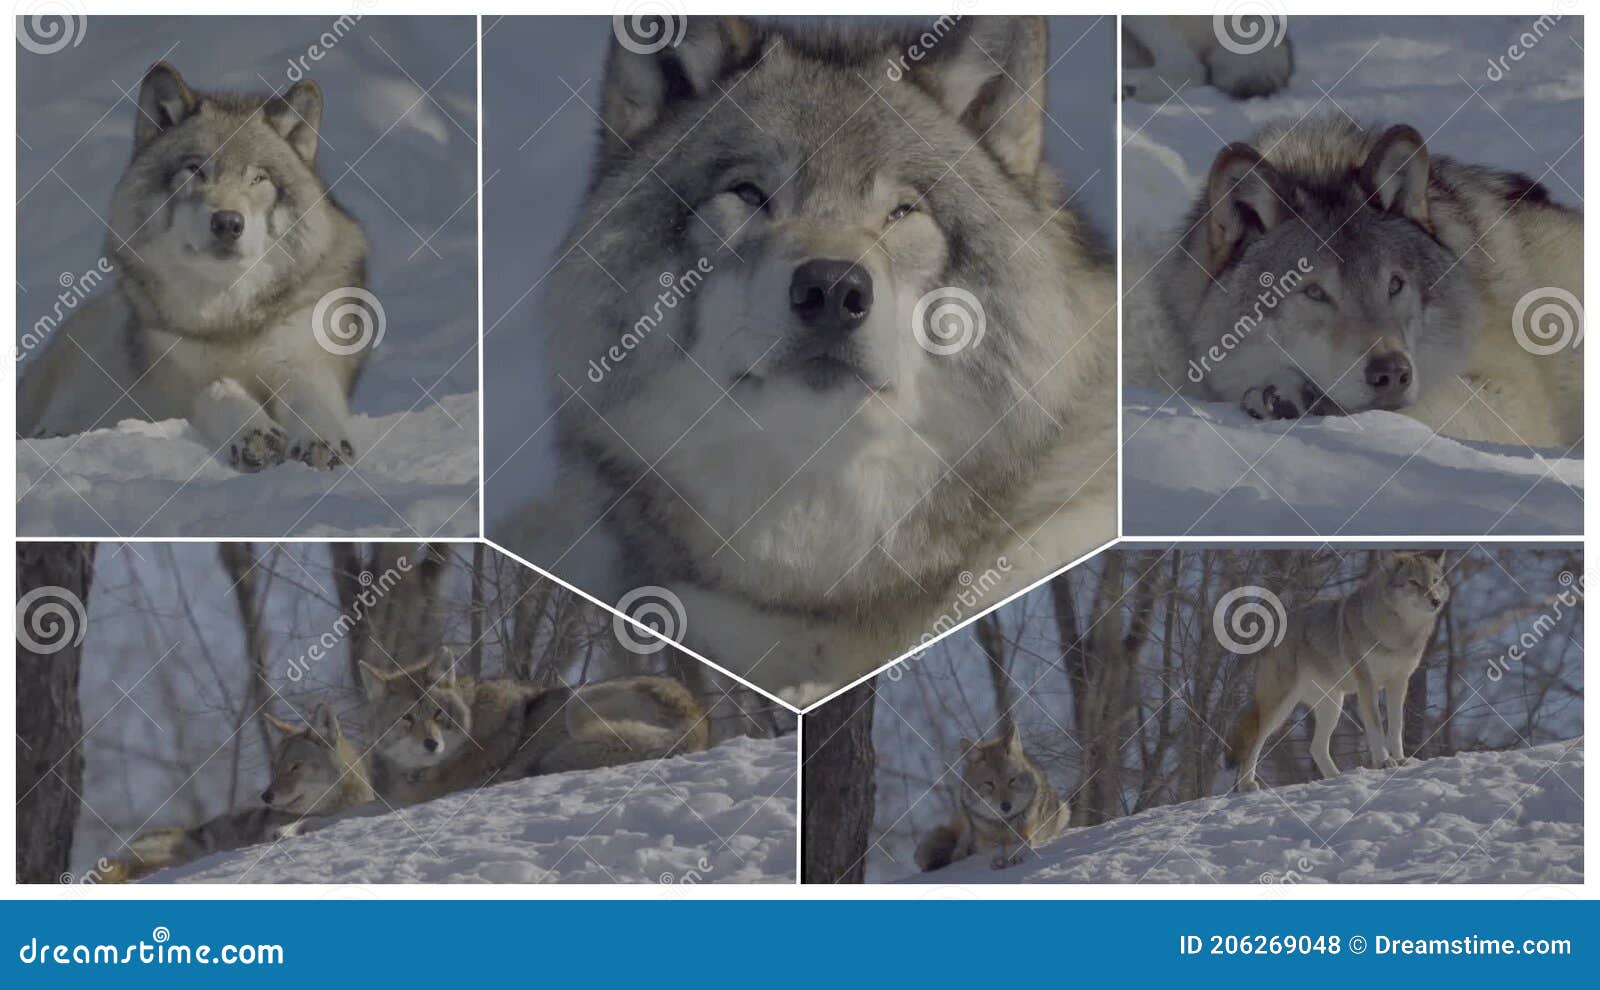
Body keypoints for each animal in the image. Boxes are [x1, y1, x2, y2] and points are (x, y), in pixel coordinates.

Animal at [17, 61, 371, 470]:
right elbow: (220, 391)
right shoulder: (179, 378)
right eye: (196, 170)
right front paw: (255, 433)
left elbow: (311, 397)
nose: (228, 223)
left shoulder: (305, 356)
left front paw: (322, 438)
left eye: (258, 178)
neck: (229, 318)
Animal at [915, 723, 1069, 871]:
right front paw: (998, 859)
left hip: (1064, 811)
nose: (1006, 806)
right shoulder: (984, 839)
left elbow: (1022, 842)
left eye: (1011, 780)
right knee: (959, 847)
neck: (1004, 824)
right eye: (990, 784)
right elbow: (993, 848)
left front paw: (1015, 855)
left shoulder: (1028, 831)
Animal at [1227, 550, 1450, 793]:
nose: (1436, 601)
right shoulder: (1367, 683)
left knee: (1315, 748)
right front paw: (1384, 762)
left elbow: (1396, 726)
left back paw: (1337, 778)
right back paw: (1247, 785)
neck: (1398, 633)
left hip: (1333, 705)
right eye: (1414, 582)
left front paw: (1400, 760)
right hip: (1280, 707)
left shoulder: (1399, 683)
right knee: (1254, 743)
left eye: (1435, 580)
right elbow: (1376, 727)